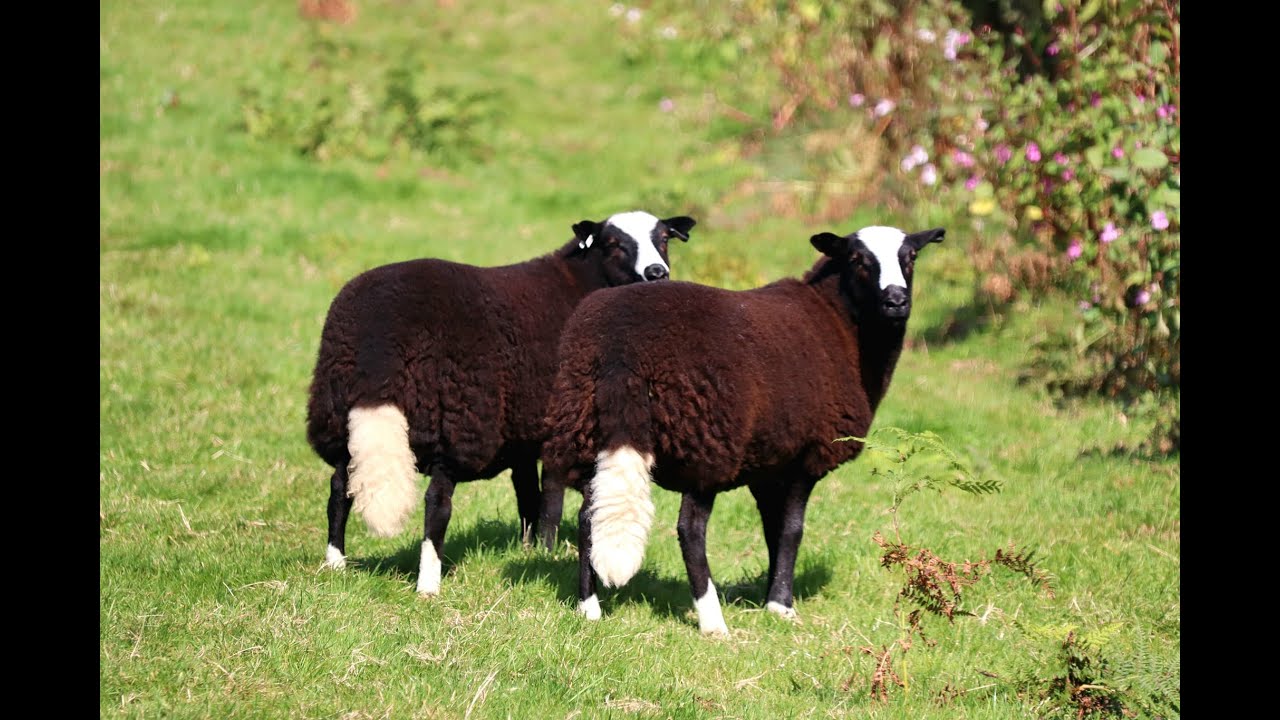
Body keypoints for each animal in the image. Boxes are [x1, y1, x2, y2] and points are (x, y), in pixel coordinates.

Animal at [306, 210, 697, 595]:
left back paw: (335, 564)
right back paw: (428, 583)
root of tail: (379, 343)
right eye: (614, 243)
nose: (657, 273)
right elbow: (550, 497)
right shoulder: (557, 427)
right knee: (436, 503)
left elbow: (527, 494)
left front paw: (528, 546)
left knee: (339, 489)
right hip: (456, 420)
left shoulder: (524, 430)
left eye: (663, 238)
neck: (584, 280)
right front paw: (547, 549)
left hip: (336, 417)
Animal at [540, 224, 944, 633]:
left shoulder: (769, 463)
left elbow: (773, 530)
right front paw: (782, 605)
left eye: (911, 256)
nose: (896, 301)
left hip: (583, 429)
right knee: (690, 530)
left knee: (588, 518)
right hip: (706, 440)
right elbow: (792, 529)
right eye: (859, 259)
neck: (839, 321)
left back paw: (589, 608)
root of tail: (621, 353)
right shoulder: (806, 456)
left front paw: (772, 593)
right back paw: (713, 621)